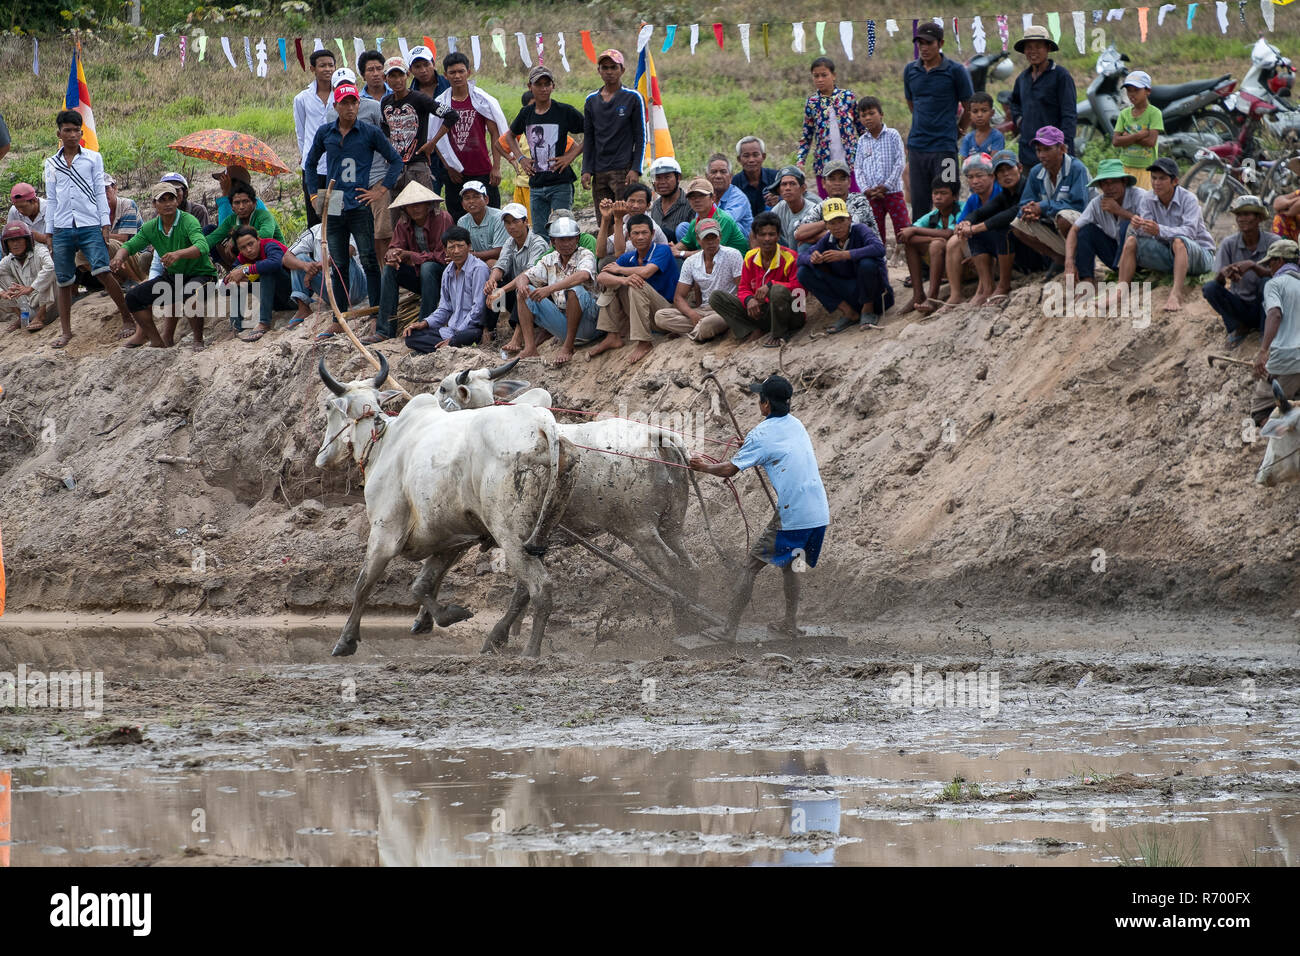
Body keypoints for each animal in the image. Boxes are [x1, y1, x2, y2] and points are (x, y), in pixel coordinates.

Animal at [314, 353, 578, 657]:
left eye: (327, 407)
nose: (321, 458)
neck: (383, 441)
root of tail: (542, 426)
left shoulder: (384, 534)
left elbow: (363, 584)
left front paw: (345, 641)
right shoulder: (453, 539)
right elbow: (421, 586)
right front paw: (445, 616)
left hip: (510, 533)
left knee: (540, 587)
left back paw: (530, 652)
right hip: (540, 532)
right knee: (525, 589)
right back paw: (500, 638)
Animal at [411, 358, 723, 636]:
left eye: (442, 388)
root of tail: (658, 436)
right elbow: (519, 590)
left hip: (639, 531)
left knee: (675, 574)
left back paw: (684, 627)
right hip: (671, 525)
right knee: (691, 569)